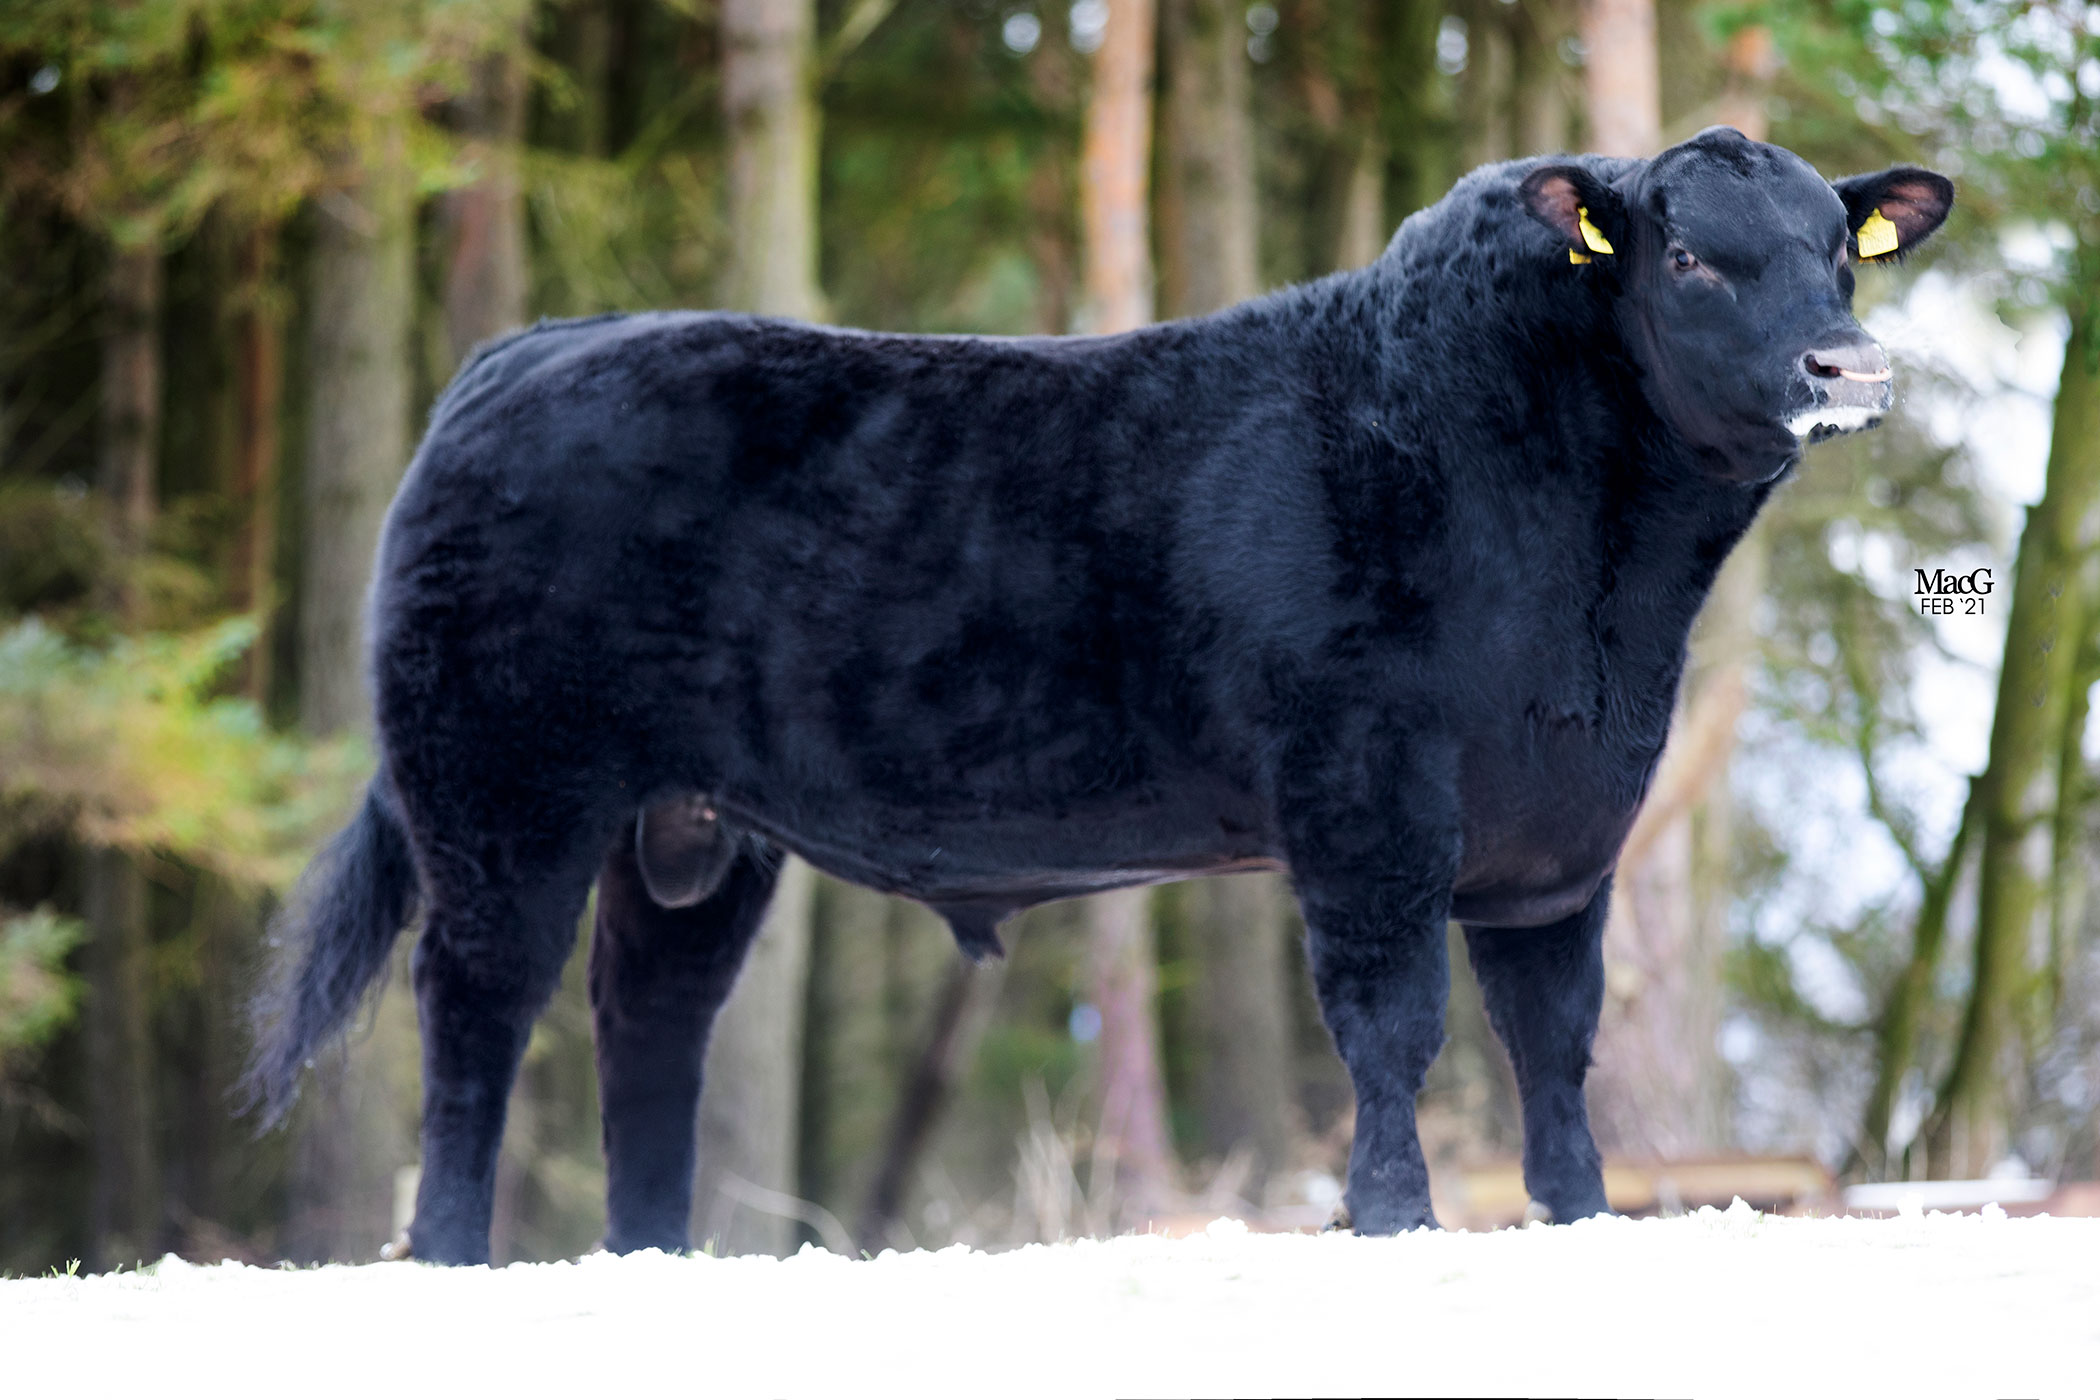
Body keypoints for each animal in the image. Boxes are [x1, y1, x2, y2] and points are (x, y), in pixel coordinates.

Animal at [247, 126, 1951, 1265]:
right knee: (475, 1012)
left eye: (1833, 247)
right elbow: (1392, 1027)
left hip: (692, 826)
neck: (1596, 617)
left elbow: (1555, 1043)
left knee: (648, 1019)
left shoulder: (1563, 833)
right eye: (1691, 254)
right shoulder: (1368, 797)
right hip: (496, 789)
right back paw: (450, 1255)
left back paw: (655, 1259)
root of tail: (533, 349)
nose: (1849, 365)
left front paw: (1578, 1219)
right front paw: (1392, 1223)